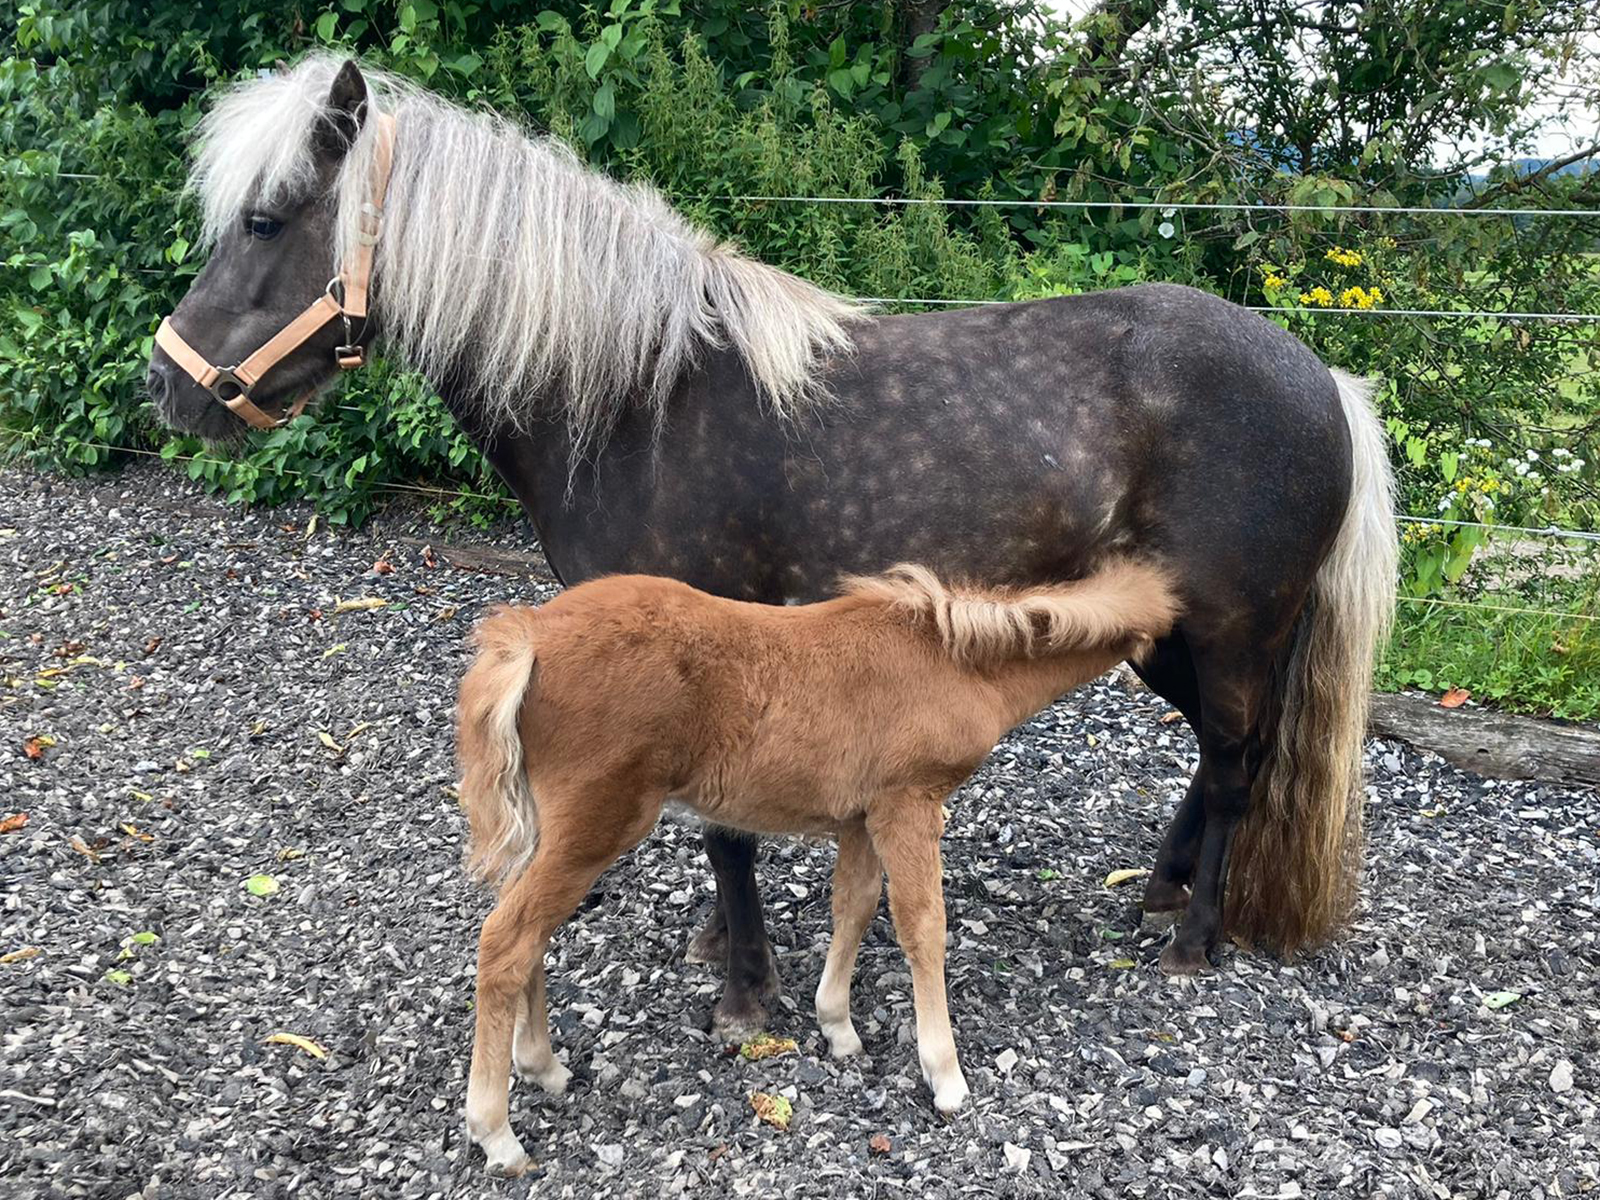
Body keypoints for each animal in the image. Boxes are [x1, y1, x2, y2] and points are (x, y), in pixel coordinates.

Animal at [146, 55, 1397, 1038]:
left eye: (265, 221)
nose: (168, 386)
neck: (640, 397)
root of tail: (1323, 378)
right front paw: (722, 952)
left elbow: (724, 836)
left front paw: (747, 992)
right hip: (1161, 635)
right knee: (1220, 753)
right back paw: (1161, 888)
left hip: (1234, 627)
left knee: (1235, 764)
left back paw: (1192, 939)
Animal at [456, 561, 1180, 1175]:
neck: (953, 664)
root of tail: (528, 635)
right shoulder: (908, 804)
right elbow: (923, 927)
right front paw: (945, 1076)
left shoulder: (863, 816)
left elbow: (853, 905)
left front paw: (839, 1028)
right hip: (598, 821)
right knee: (506, 938)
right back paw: (498, 1133)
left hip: (554, 828)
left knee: (526, 934)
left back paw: (542, 1066)